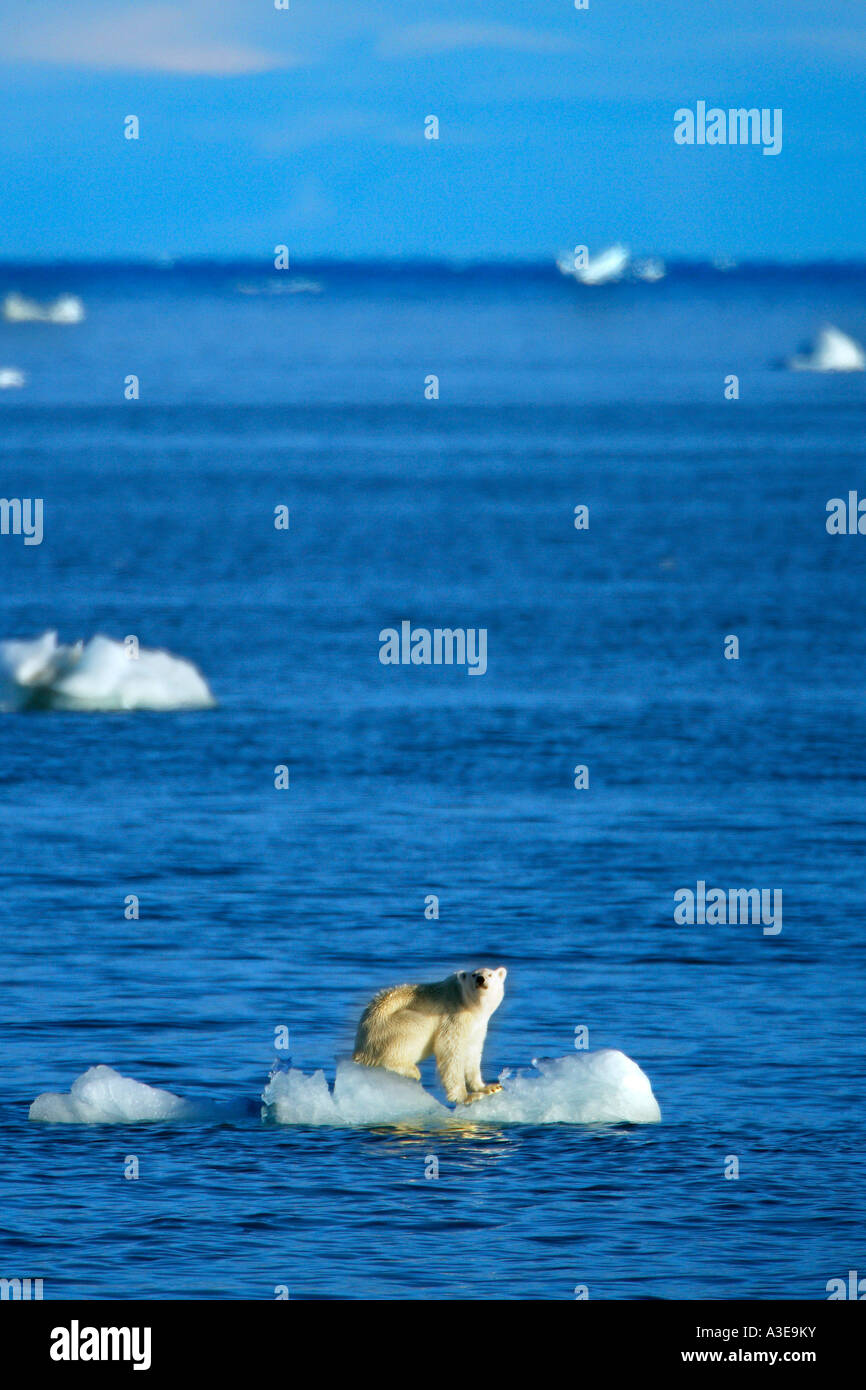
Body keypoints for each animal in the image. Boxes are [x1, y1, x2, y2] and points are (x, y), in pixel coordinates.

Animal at [352, 966, 507, 1104]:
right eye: (474, 975)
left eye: (490, 975)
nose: (481, 979)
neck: (466, 1003)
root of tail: (360, 1047)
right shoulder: (453, 1016)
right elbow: (450, 1050)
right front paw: (467, 1097)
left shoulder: (478, 1025)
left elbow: (473, 1052)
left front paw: (489, 1087)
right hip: (391, 1026)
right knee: (415, 1028)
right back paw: (412, 1071)